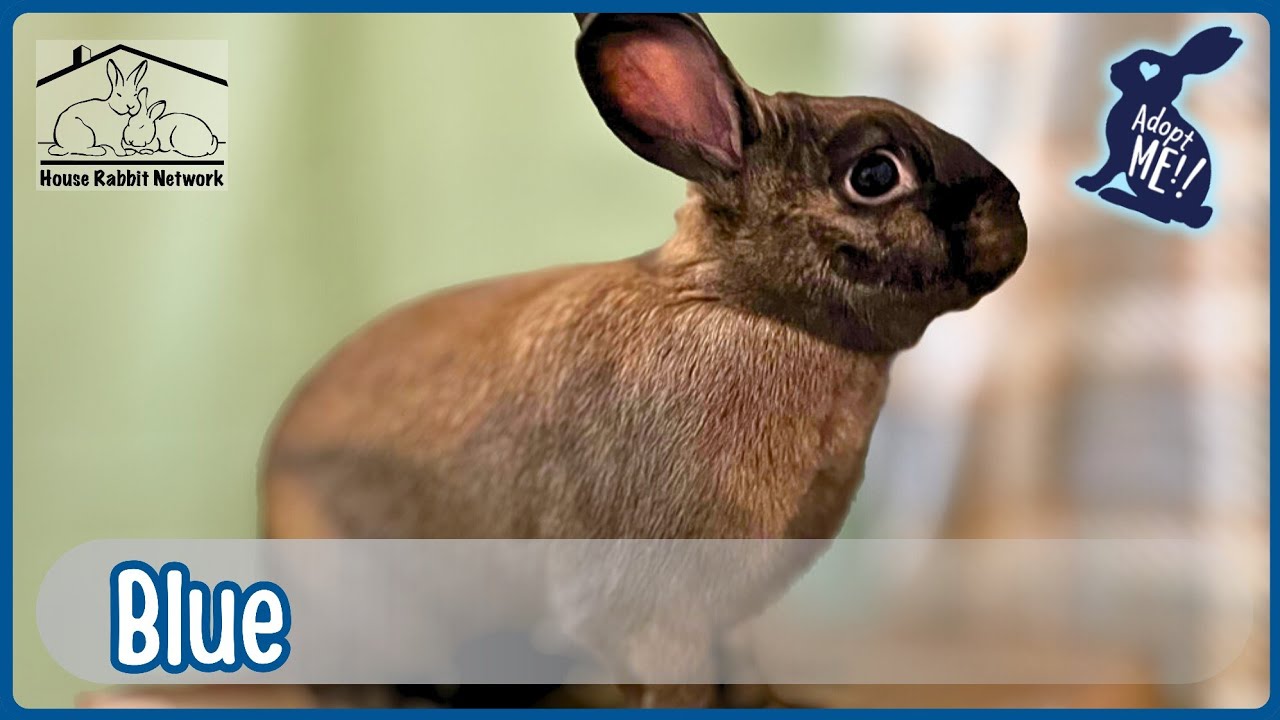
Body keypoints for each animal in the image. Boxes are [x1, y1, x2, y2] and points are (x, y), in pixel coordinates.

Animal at [77, 13, 1025, 710]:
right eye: (875, 174)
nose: (1012, 213)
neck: (749, 306)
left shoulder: (723, 613)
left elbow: (742, 668)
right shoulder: (648, 604)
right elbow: (677, 680)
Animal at [1075, 26, 1241, 228]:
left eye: (1149, 66)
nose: (1113, 67)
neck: (1146, 101)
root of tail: (1188, 213)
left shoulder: (1120, 155)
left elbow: (1107, 171)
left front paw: (1087, 183)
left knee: (1160, 215)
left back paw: (1114, 195)